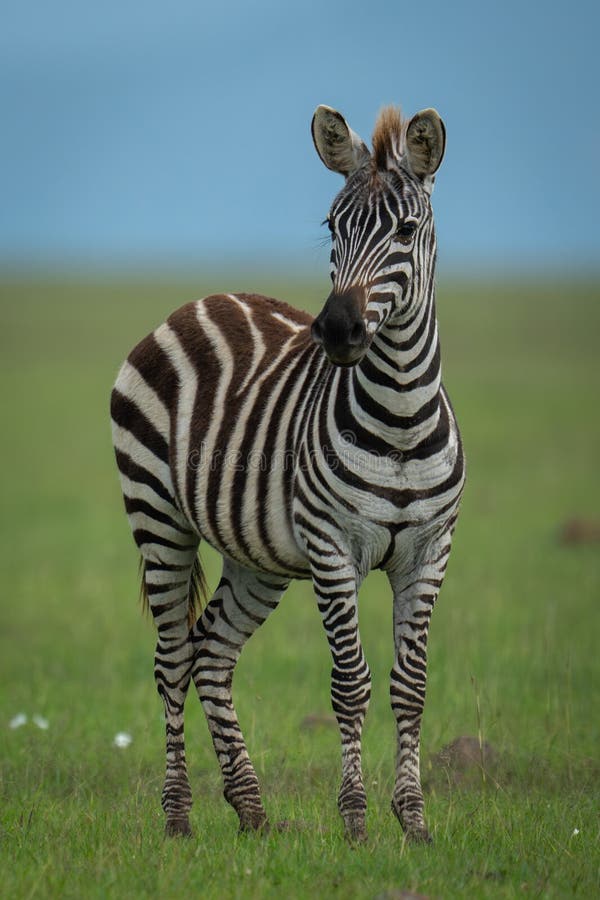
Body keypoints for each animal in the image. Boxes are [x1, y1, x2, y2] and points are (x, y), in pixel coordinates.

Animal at [110, 102, 465, 844]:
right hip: (157, 516)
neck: (401, 421)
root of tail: (199, 302)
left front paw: (414, 821)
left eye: (407, 230)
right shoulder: (333, 548)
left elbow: (411, 686)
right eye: (332, 225)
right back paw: (179, 814)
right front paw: (356, 820)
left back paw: (250, 807)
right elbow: (350, 683)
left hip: (257, 558)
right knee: (171, 659)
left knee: (212, 652)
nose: (335, 331)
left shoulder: (430, 551)